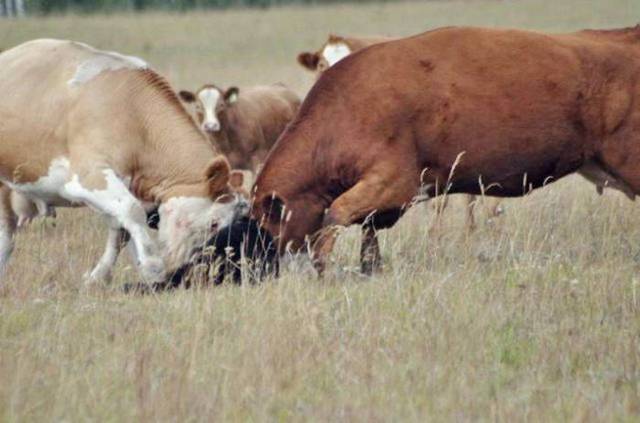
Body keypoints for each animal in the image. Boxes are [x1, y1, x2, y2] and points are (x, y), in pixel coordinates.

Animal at [0, 39, 247, 284]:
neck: (135, 116)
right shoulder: (90, 177)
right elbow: (132, 211)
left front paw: (98, 277)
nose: (184, 267)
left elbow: (120, 231)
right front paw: (152, 266)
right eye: (214, 223)